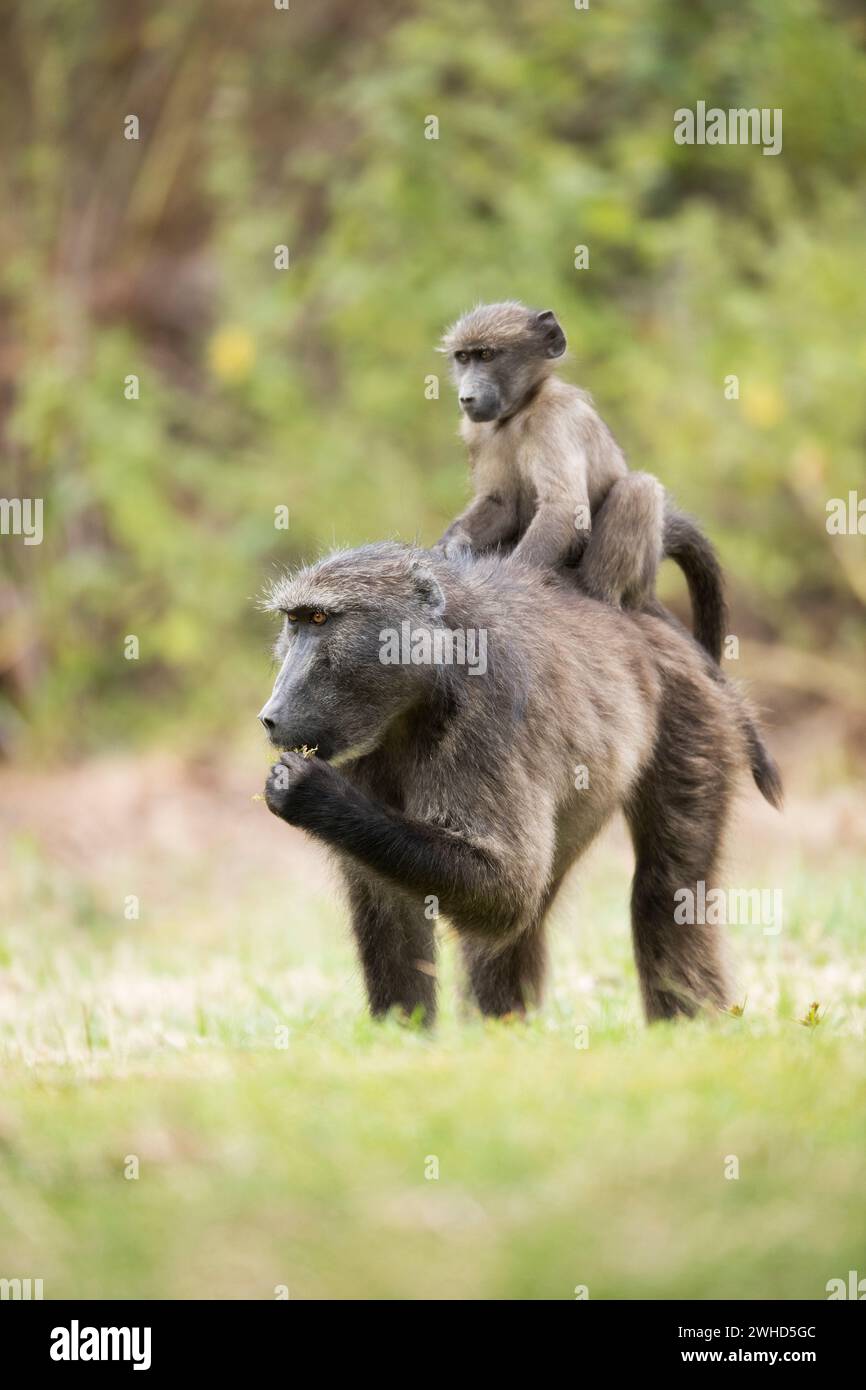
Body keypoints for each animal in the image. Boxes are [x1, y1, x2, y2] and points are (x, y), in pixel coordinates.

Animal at [258, 540, 782, 1026]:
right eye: (294, 623)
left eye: (320, 619)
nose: (271, 717)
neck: (424, 689)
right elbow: (397, 903)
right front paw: (402, 1037)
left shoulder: (487, 707)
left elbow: (505, 889)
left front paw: (311, 791)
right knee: (522, 920)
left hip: (694, 718)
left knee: (667, 889)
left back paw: (688, 1027)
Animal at [437, 300, 728, 663]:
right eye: (463, 358)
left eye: (487, 355)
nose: (467, 397)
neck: (520, 411)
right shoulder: (477, 430)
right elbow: (500, 504)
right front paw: (449, 549)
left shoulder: (554, 417)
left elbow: (564, 508)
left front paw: (509, 587)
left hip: (635, 583)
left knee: (638, 488)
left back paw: (592, 592)